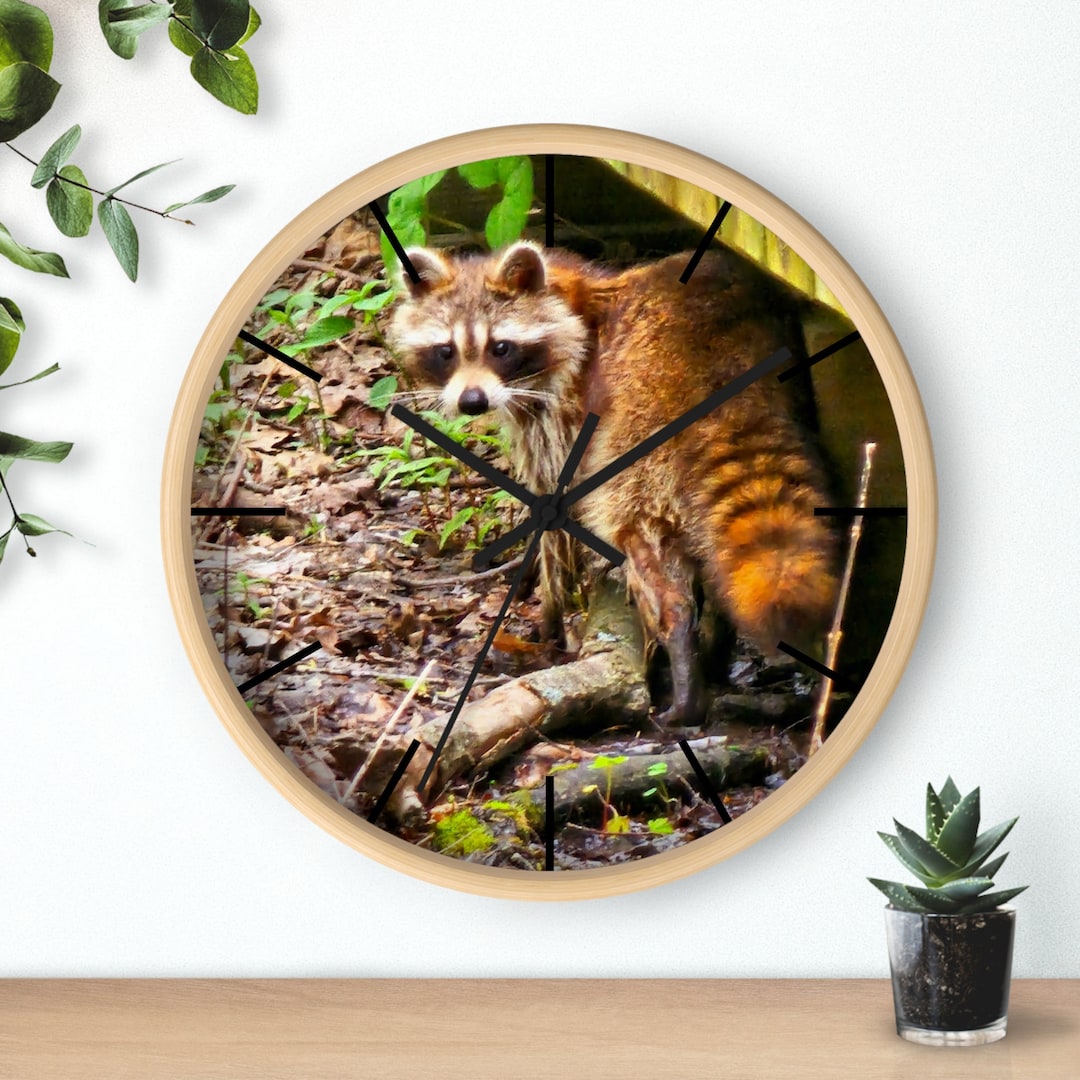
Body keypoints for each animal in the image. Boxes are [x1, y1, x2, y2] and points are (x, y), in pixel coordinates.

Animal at [388, 241, 838, 724]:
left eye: (500, 347)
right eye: (446, 351)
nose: (472, 402)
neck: (567, 302)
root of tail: (719, 351)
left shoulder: (565, 409)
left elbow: (554, 514)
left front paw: (549, 615)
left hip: (637, 426)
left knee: (638, 535)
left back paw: (681, 649)